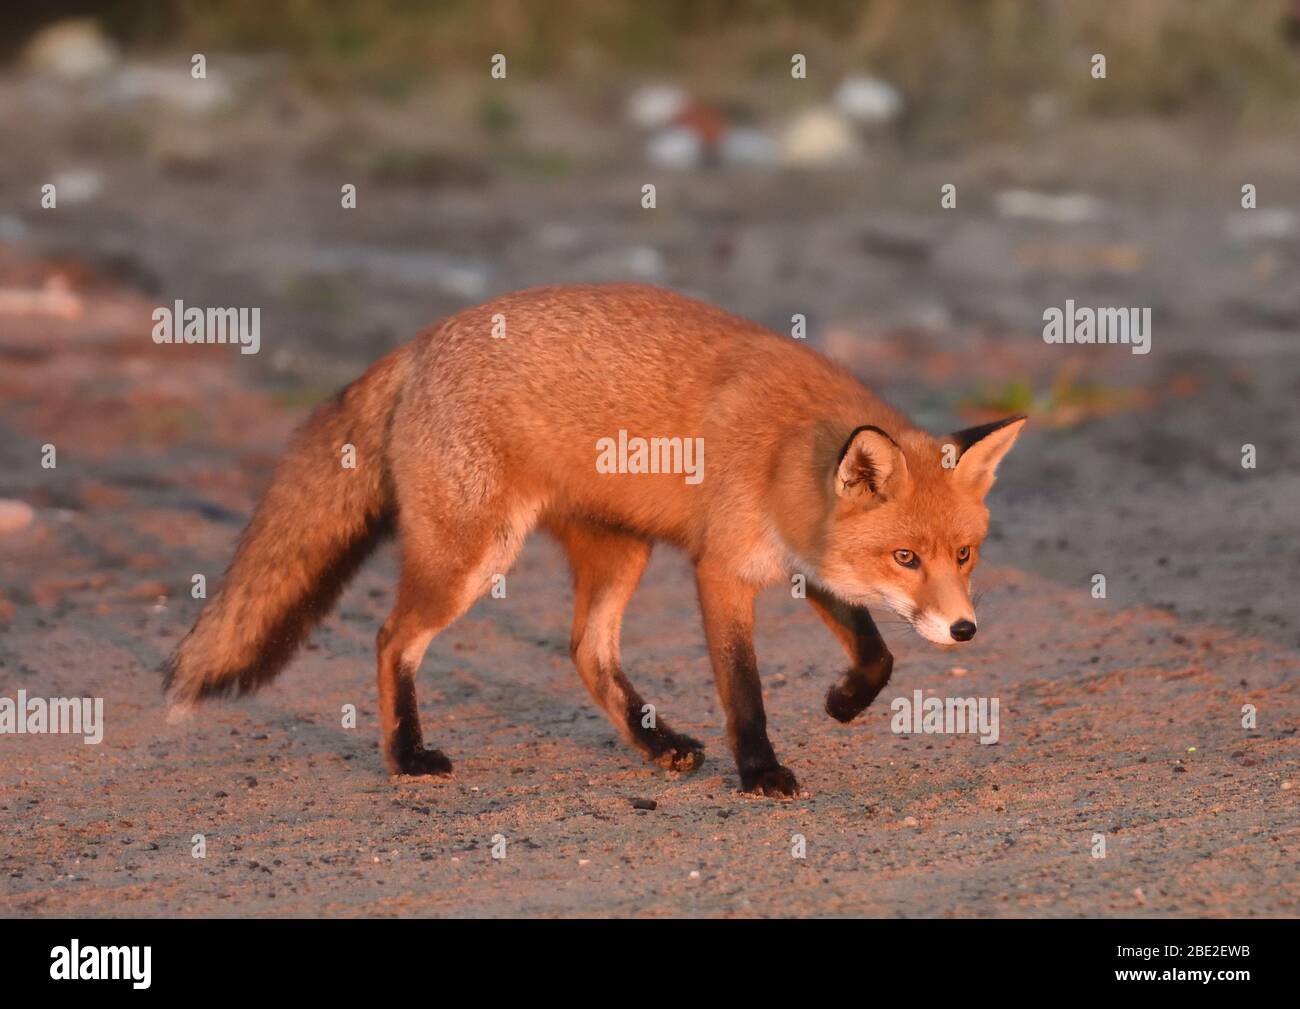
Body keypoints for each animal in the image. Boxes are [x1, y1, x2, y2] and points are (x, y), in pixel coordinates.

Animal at [164, 283, 1025, 798]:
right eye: (905, 557)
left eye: (964, 555)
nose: (965, 628)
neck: (789, 449)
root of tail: (426, 339)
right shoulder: (722, 571)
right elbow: (744, 692)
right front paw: (760, 771)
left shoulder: (803, 561)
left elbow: (877, 651)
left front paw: (845, 701)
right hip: (474, 557)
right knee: (390, 638)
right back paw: (407, 755)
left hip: (620, 552)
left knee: (585, 649)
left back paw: (658, 744)